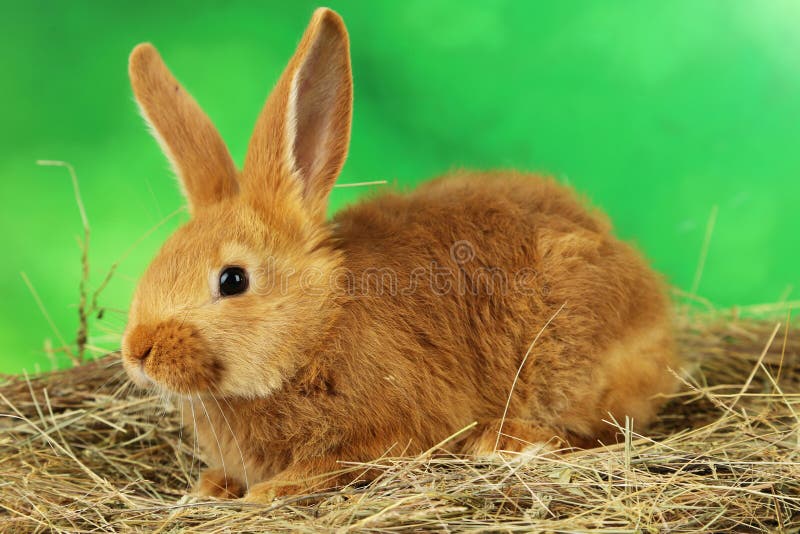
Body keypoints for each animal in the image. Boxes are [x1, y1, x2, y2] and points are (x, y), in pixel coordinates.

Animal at [121, 8, 677, 502]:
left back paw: (502, 443)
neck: (317, 327)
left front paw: (271, 491)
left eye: (233, 280)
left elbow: (337, 463)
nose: (138, 351)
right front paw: (212, 486)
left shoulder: (387, 430)